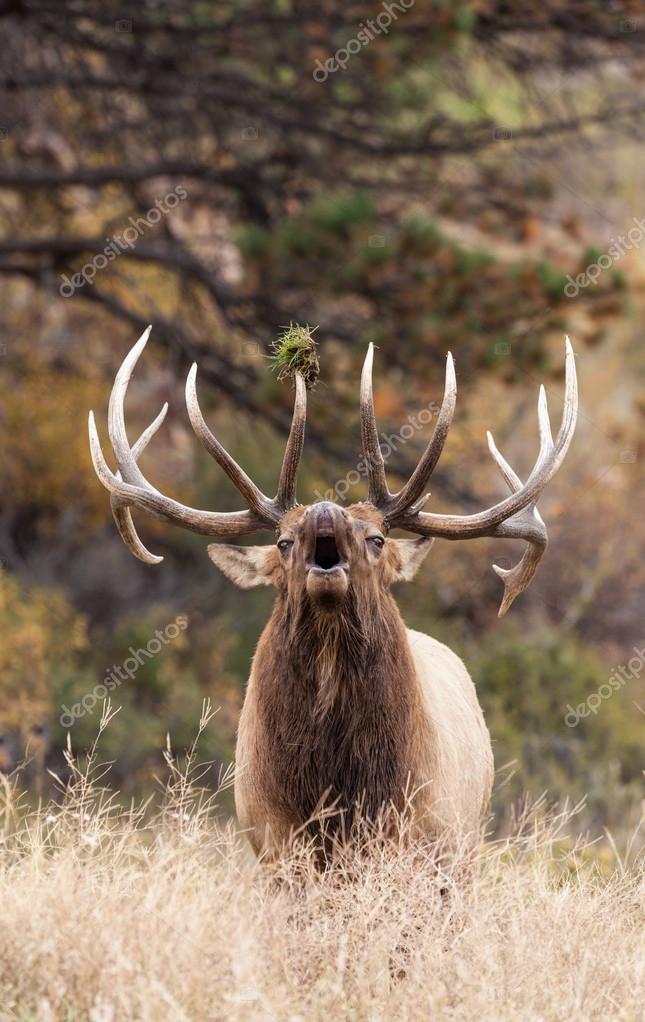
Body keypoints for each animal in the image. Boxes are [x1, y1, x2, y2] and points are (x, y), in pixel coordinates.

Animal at [89, 328, 577, 857]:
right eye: (283, 541)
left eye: (377, 538)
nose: (325, 510)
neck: (341, 791)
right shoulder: (272, 840)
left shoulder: (425, 837)